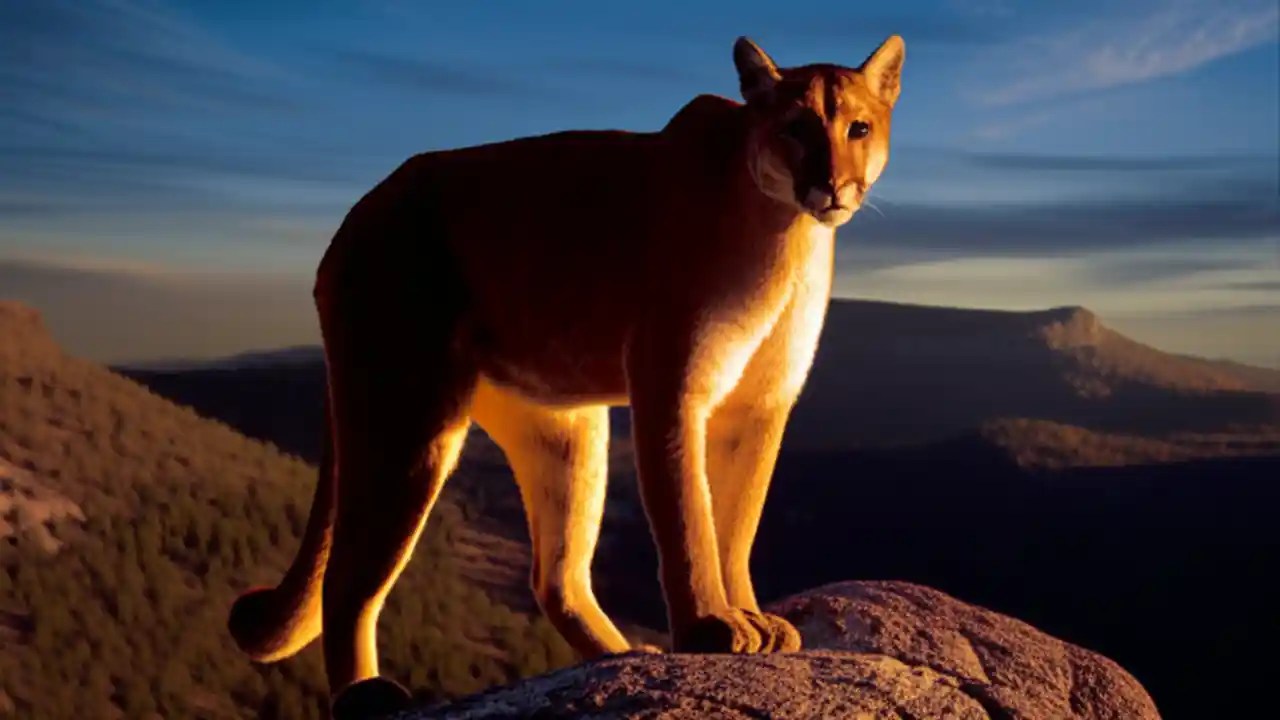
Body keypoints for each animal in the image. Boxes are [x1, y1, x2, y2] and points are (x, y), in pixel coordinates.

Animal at [228, 34, 905, 716]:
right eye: (796, 127)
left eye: (858, 127)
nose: (832, 185)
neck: (783, 227)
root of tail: (355, 216)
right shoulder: (672, 385)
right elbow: (689, 516)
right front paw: (711, 626)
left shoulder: (761, 404)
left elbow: (737, 522)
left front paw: (748, 616)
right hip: (408, 415)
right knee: (348, 577)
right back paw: (369, 694)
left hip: (565, 431)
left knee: (553, 577)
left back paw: (626, 655)